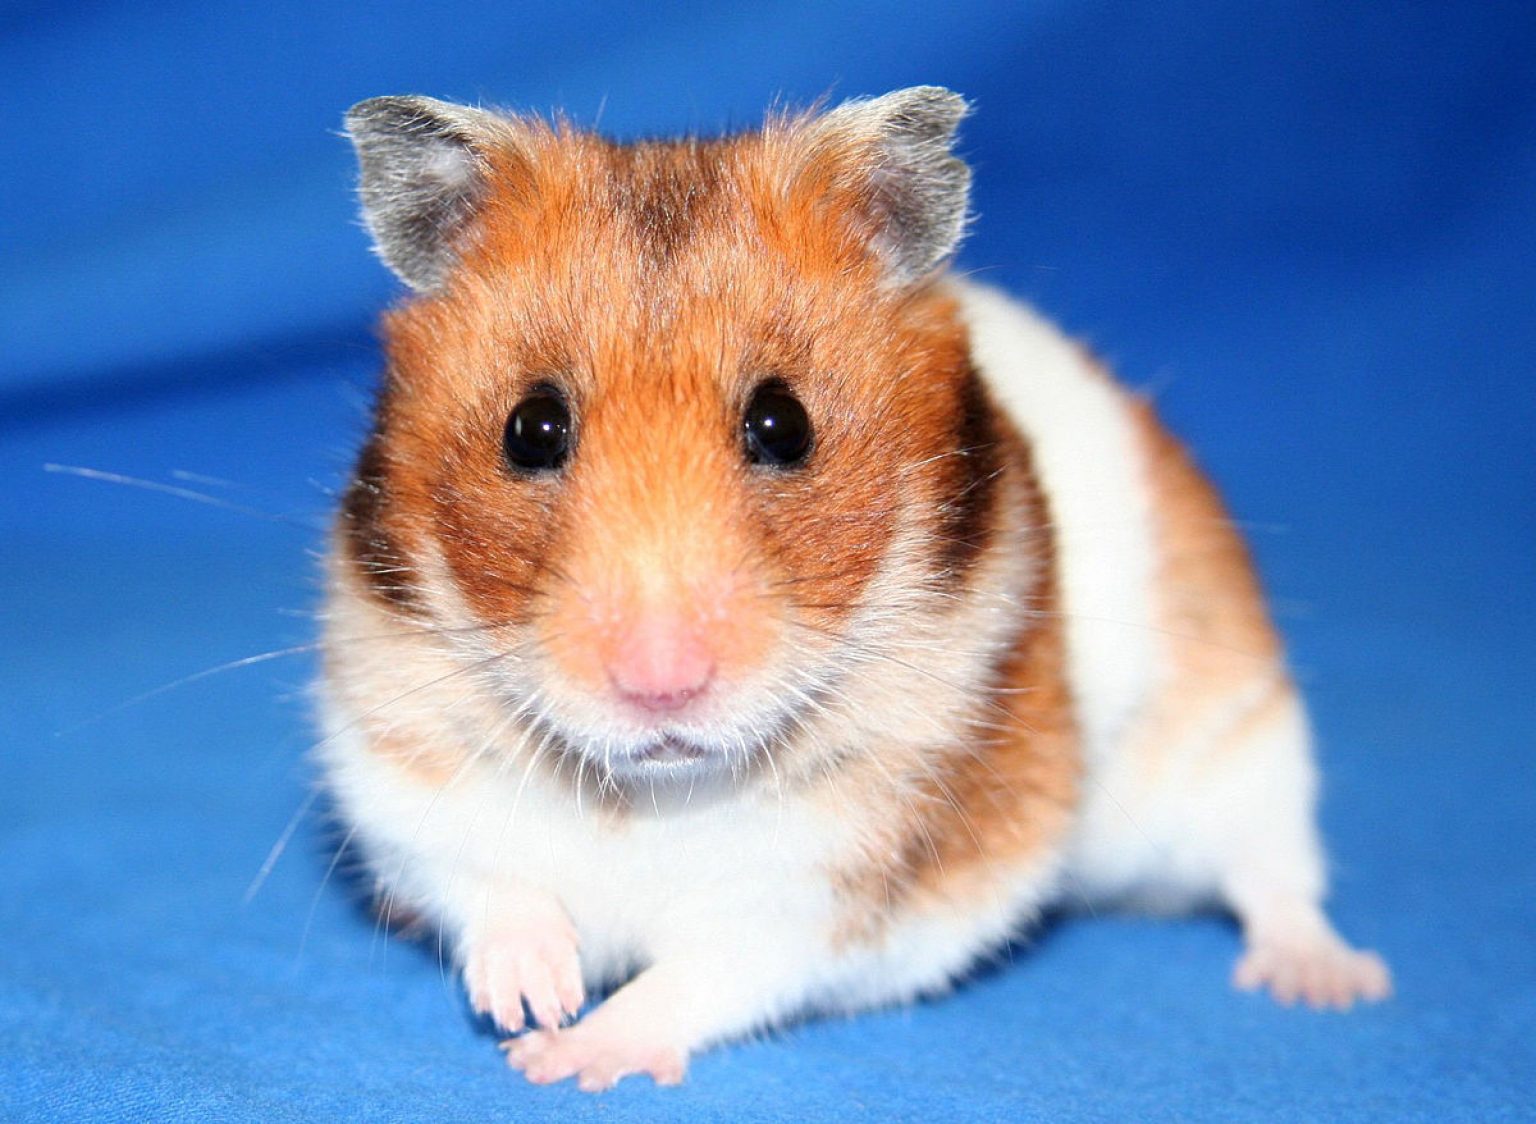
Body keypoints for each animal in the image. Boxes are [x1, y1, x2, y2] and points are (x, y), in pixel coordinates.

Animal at [319, 86, 1391, 1091]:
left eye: (783, 423)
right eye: (532, 429)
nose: (661, 684)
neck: (655, 792)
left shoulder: (824, 888)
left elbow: (704, 976)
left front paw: (560, 1056)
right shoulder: (401, 772)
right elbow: (486, 886)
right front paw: (531, 1001)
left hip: (1237, 733)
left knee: (1273, 870)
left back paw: (1329, 984)